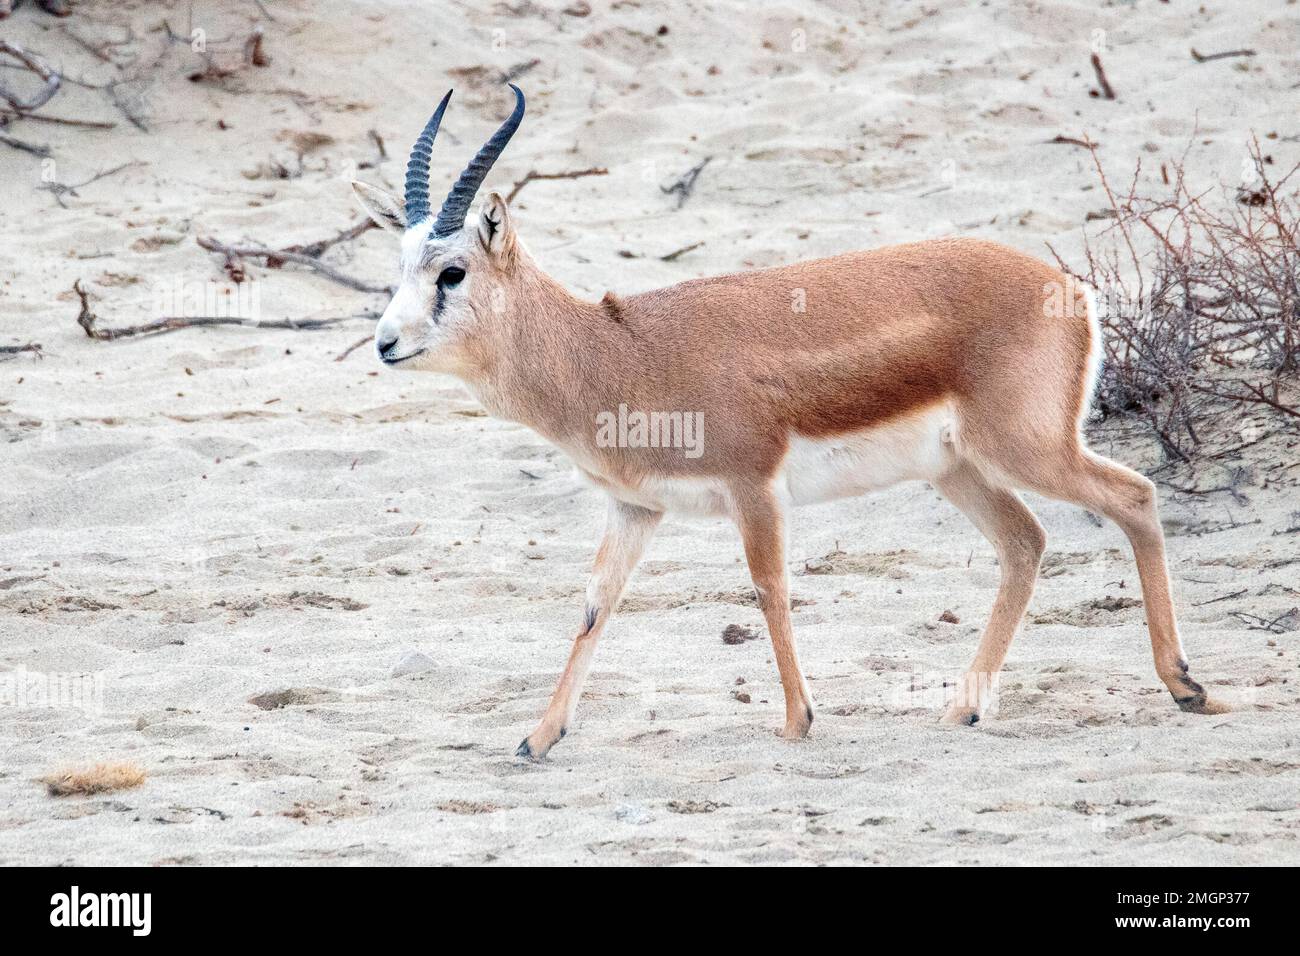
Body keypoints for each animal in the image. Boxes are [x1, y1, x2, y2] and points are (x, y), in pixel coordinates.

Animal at [352, 85, 1225, 760]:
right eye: (400, 268)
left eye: (452, 271)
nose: (386, 343)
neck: (616, 352)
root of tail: (1068, 289)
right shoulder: (635, 507)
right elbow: (597, 601)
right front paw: (538, 737)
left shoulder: (754, 487)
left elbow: (769, 588)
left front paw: (799, 721)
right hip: (959, 469)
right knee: (1026, 543)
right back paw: (964, 706)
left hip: (1029, 449)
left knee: (1135, 497)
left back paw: (1185, 686)